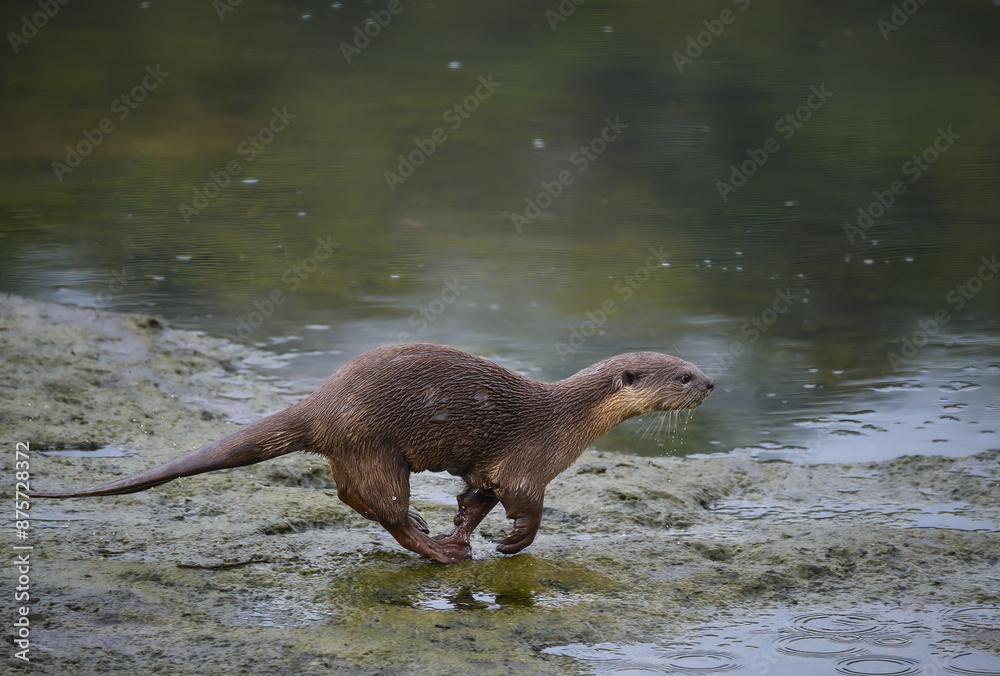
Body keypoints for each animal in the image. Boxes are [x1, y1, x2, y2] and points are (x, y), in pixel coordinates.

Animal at [32, 343, 713, 563]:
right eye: (682, 375)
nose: (711, 382)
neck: (567, 421)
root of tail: (319, 403)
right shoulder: (527, 463)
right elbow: (528, 508)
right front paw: (506, 544)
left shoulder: (487, 470)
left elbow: (474, 496)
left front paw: (463, 529)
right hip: (372, 442)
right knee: (374, 499)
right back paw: (437, 551)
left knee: (354, 497)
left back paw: (431, 533)